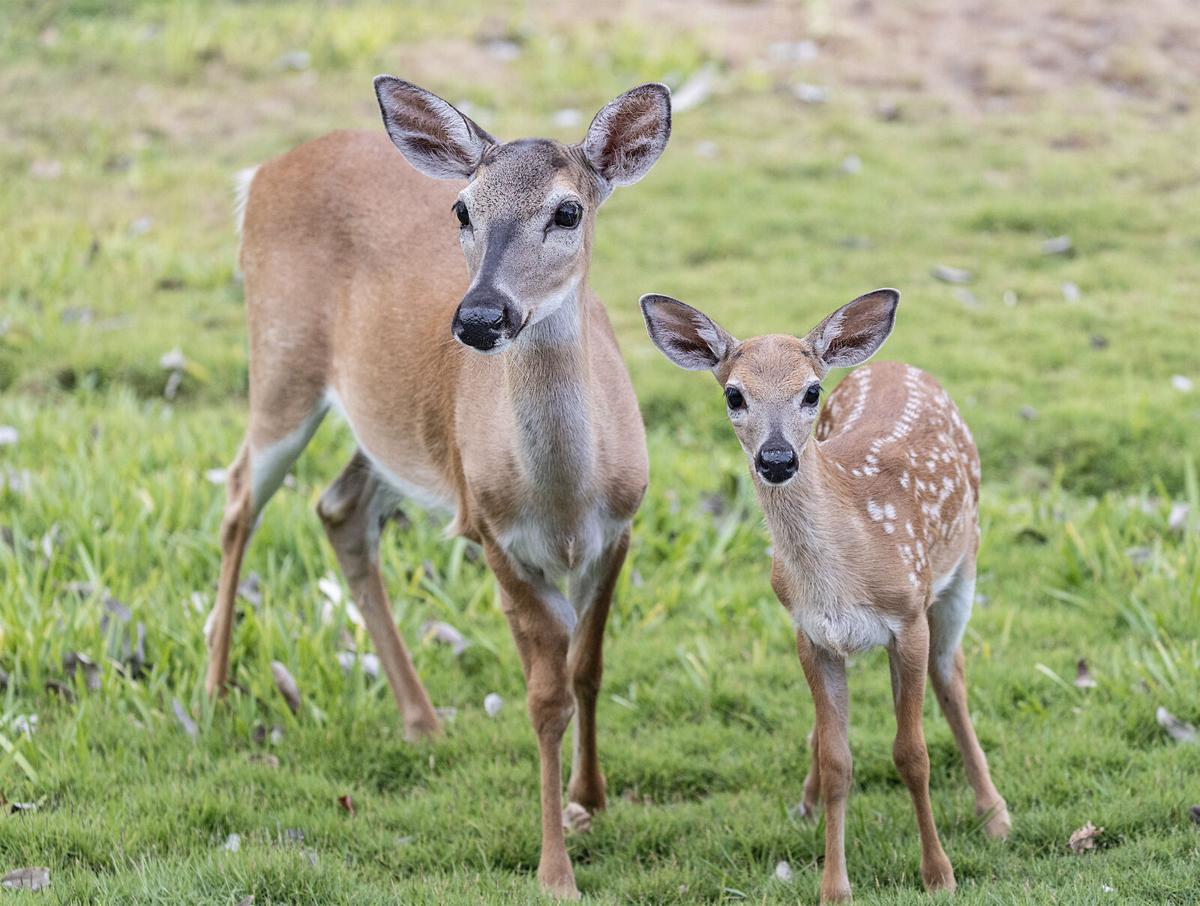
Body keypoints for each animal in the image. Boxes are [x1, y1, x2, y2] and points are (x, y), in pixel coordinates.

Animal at [204, 77, 672, 899]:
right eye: (462, 209)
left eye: (568, 210)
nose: (481, 315)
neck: (565, 501)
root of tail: (259, 175)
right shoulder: (492, 532)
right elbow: (543, 698)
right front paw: (555, 869)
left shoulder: (621, 528)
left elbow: (588, 669)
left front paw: (590, 799)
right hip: (282, 361)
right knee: (238, 498)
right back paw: (216, 689)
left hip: (387, 432)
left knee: (338, 508)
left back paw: (422, 720)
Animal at [639, 288, 1010, 903]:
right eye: (733, 394)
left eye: (810, 391)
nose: (777, 458)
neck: (841, 570)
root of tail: (895, 363)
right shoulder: (809, 632)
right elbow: (839, 760)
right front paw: (834, 886)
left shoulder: (907, 619)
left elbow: (913, 753)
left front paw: (938, 873)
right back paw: (806, 803)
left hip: (964, 566)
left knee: (950, 673)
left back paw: (994, 811)